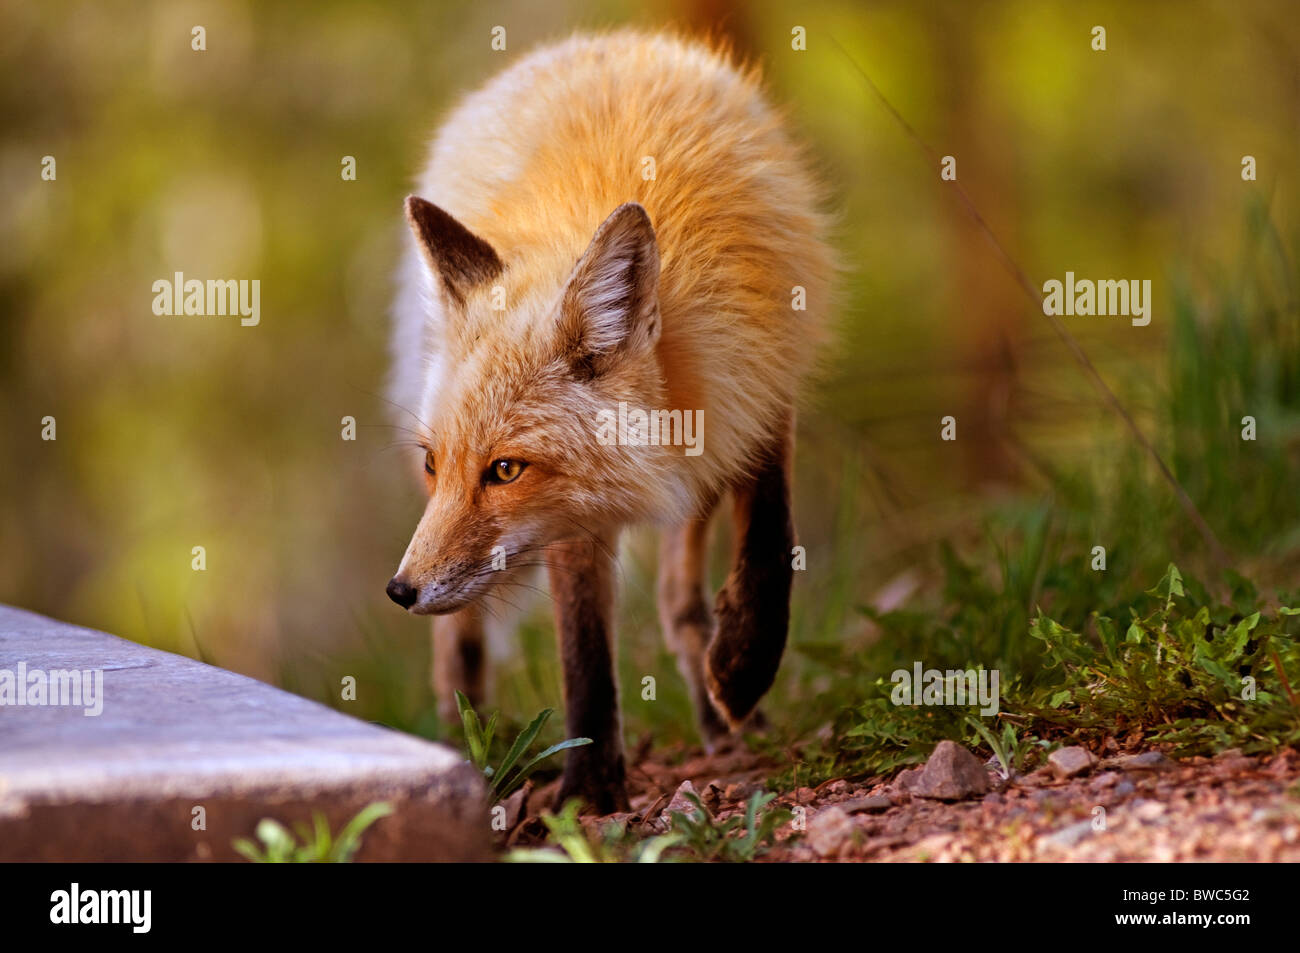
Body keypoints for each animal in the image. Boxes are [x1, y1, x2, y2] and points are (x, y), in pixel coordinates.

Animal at [385, 30, 833, 813]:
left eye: (504, 469)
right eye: (438, 462)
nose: (400, 590)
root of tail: (589, 42)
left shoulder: (761, 394)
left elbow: (771, 540)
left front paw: (744, 664)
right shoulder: (573, 513)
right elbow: (583, 646)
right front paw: (591, 787)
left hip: (706, 474)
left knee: (679, 598)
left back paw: (718, 705)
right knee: (462, 646)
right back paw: (468, 735)